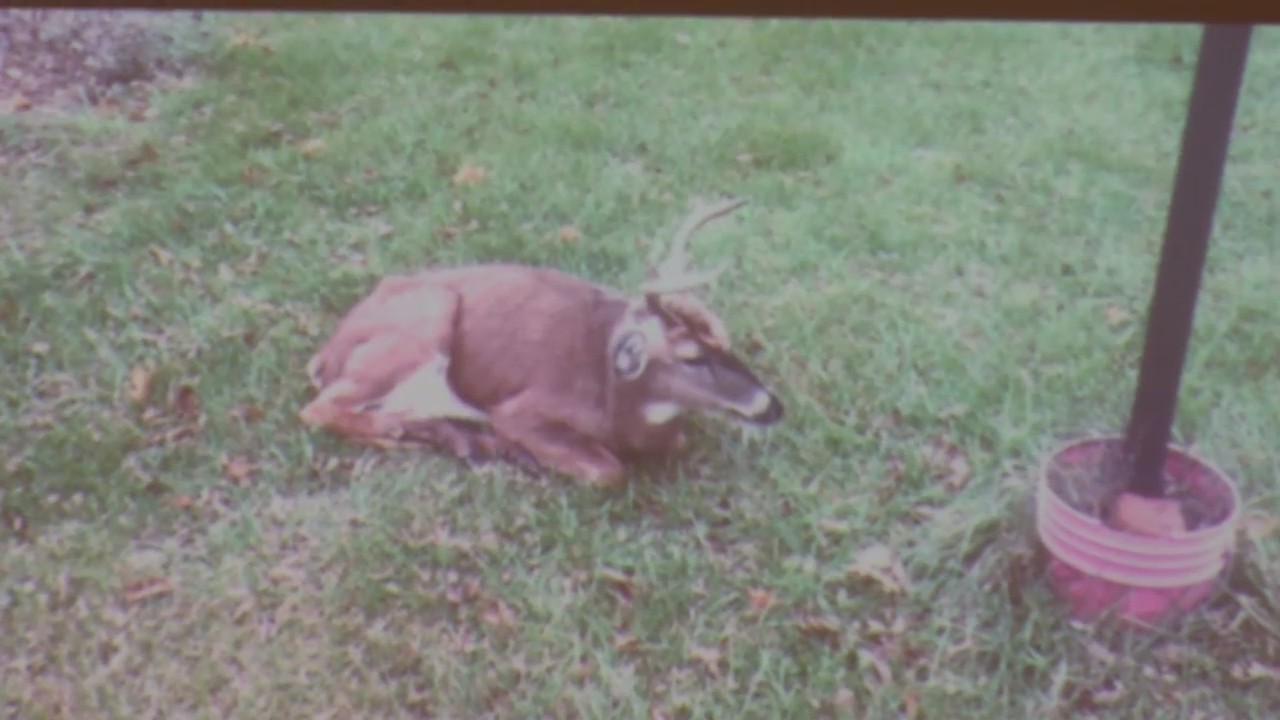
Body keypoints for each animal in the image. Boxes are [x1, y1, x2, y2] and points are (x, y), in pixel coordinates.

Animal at [297, 198, 784, 487]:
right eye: (691, 356)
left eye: (725, 342)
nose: (771, 406)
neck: (616, 401)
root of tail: (325, 355)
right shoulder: (521, 407)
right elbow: (608, 471)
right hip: (424, 322)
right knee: (320, 410)